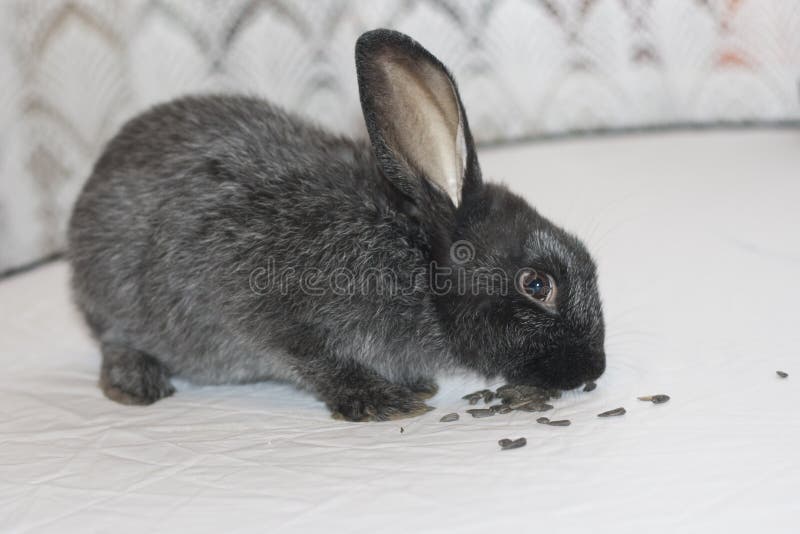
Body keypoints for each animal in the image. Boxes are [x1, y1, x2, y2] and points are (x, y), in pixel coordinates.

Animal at [68, 29, 605, 421]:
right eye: (536, 284)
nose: (593, 368)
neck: (416, 258)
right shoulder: (277, 318)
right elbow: (318, 364)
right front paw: (385, 401)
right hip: (117, 295)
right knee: (116, 339)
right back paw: (137, 383)